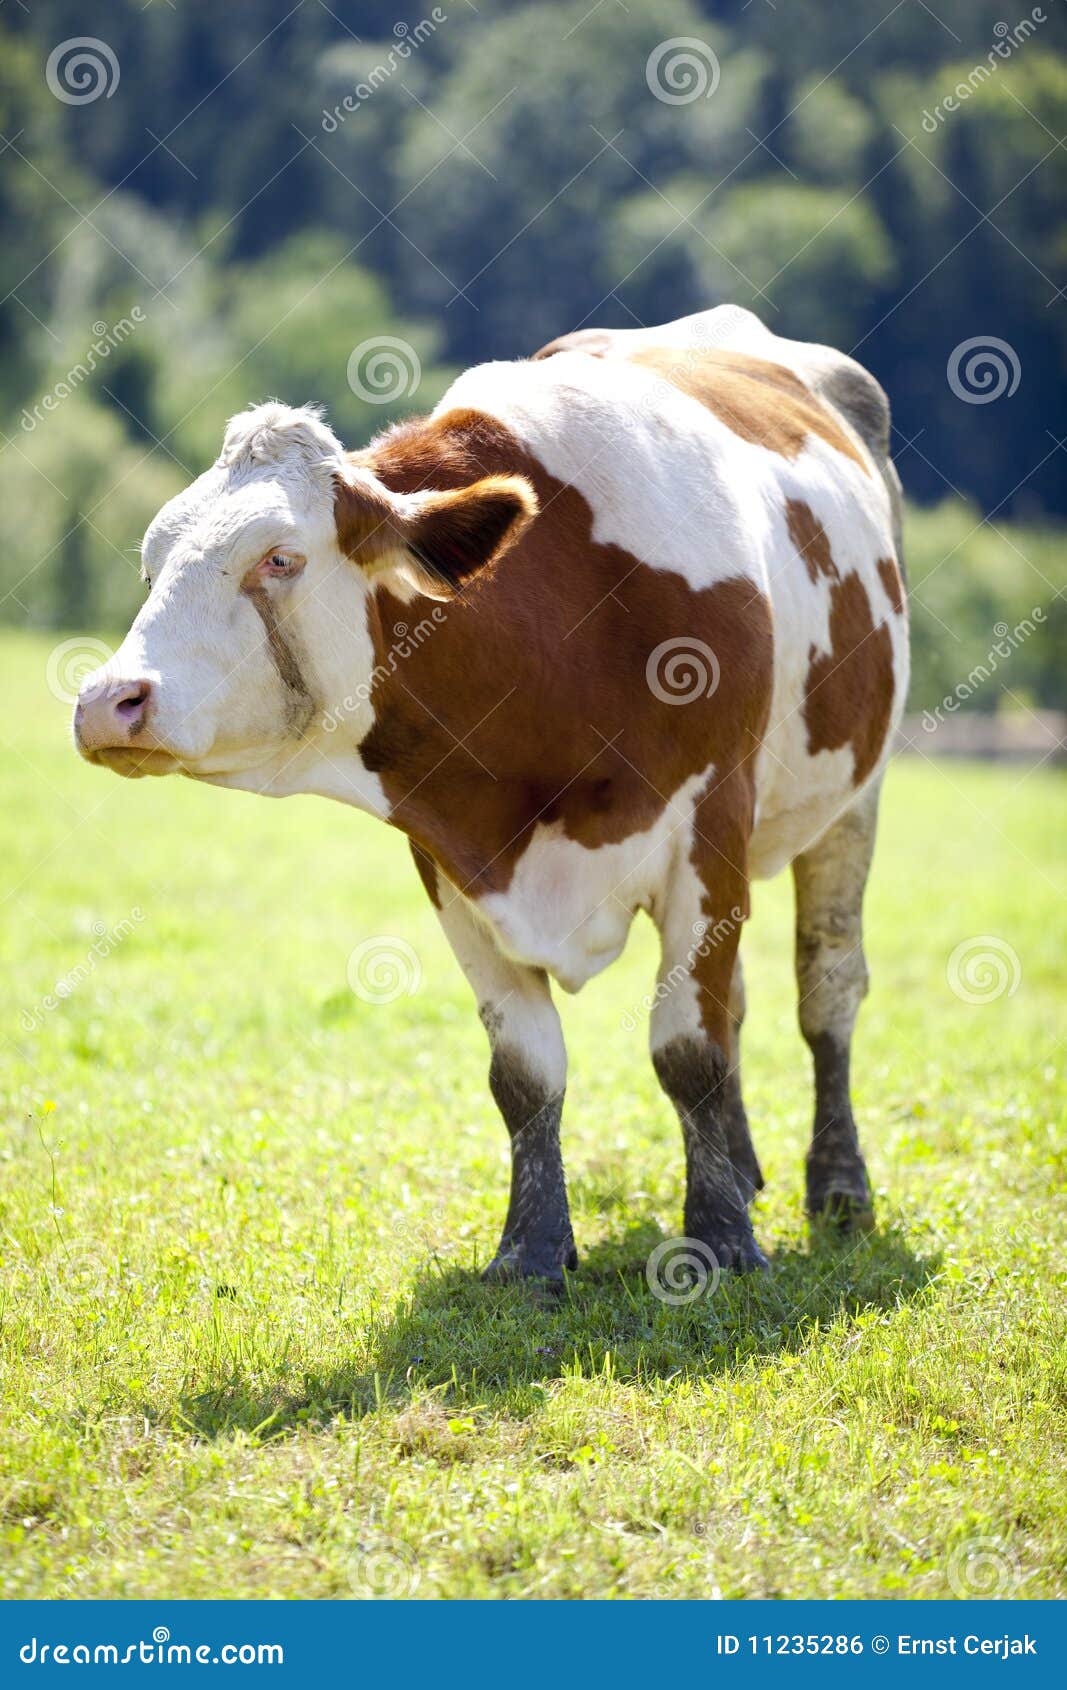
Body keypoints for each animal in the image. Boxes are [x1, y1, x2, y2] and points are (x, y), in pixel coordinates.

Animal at [74, 306, 909, 1284]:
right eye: (152, 563)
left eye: (279, 558)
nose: (109, 701)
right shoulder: (451, 858)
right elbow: (525, 1070)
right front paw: (533, 1251)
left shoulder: (708, 830)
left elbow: (688, 1049)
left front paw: (719, 1240)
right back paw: (738, 1167)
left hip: (854, 797)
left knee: (826, 989)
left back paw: (838, 1186)